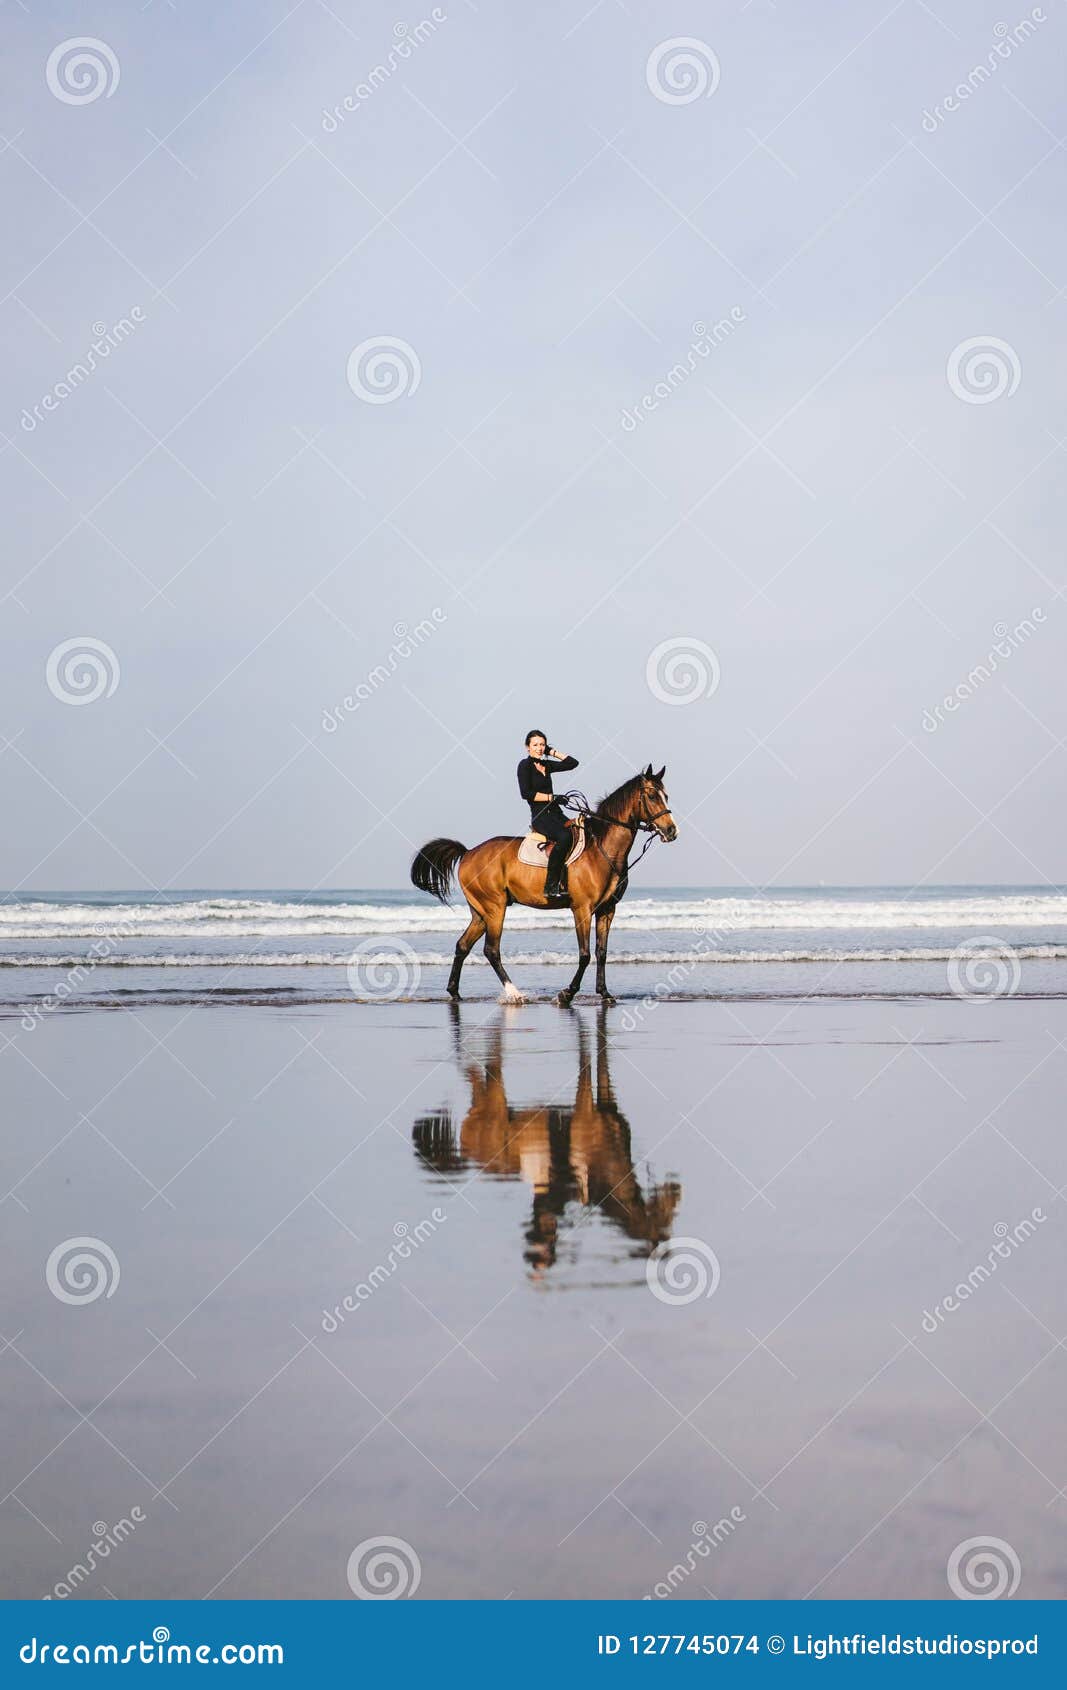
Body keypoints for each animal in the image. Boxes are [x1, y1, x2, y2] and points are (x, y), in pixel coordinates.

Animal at [410, 764, 677, 1004]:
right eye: (652, 796)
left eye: (666, 795)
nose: (672, 831)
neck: (603, 849)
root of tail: (467, 853)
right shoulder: (581, 909)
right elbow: (585, 954)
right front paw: (567, 993)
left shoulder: (607, 910)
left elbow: (601, 953)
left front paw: (604, 993)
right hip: (495, 908)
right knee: (491, 950)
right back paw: (515, 994)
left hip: (480, 911)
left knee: (463, 945)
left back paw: (455, 992)